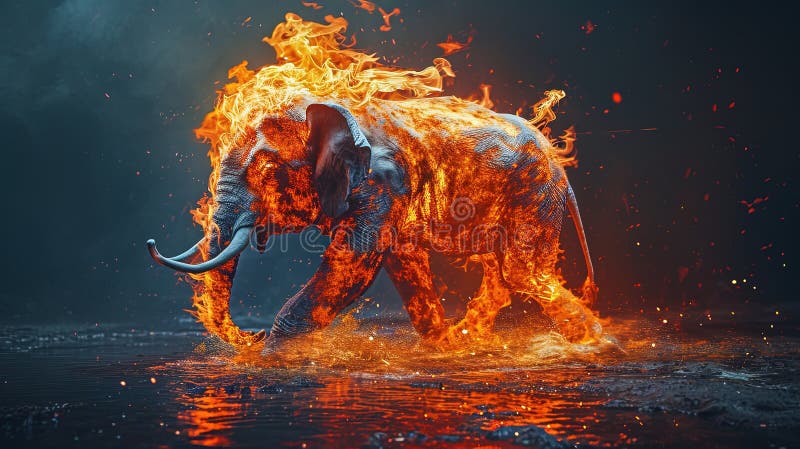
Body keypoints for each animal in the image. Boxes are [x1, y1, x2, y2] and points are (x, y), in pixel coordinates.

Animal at [147, 94, 603, 353]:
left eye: (266, 170)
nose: (251, 338)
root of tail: (560, 166)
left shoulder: (382, 183)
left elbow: (353, 259)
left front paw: (273, 358)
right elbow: (402, 263)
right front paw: (440, 346)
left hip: (535, 194)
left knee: (522, 272)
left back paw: (594, 341)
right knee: (503, 276)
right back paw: (469, 340)